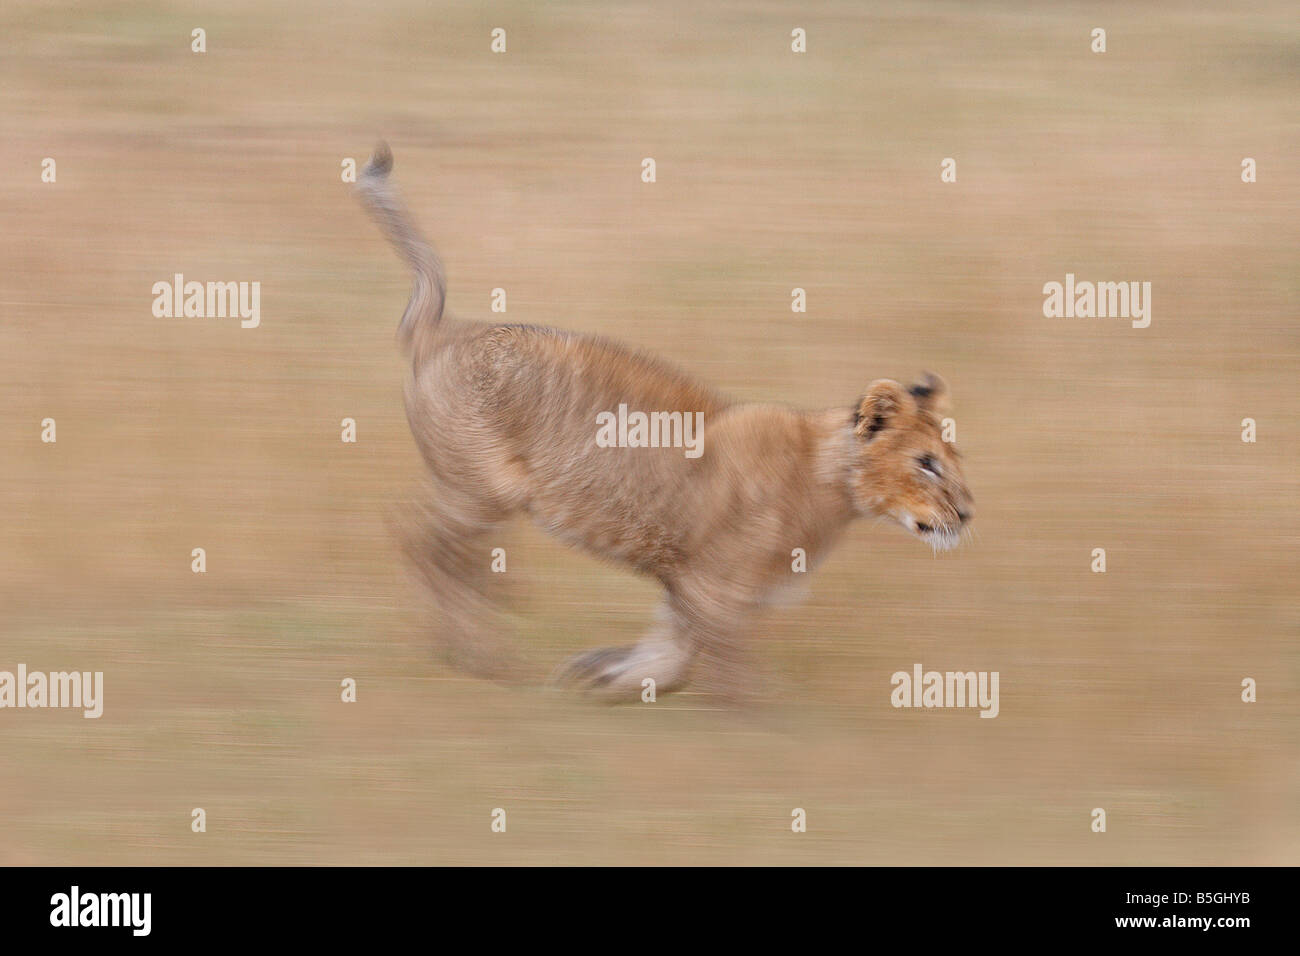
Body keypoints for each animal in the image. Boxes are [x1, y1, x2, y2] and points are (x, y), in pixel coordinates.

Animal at [356, 143, 974, 701]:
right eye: (926, 465)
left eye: (956, 460)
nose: (968, 514)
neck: (833, 487)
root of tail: (445, 330)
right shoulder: (713, 588)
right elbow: (725, 676)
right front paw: (771, 729)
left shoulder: (685, 585)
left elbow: (666, 657)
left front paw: (598, 677)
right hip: (482, 489)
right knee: (417, 537)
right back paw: (474, 654)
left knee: (447, 548)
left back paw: (495, 612)